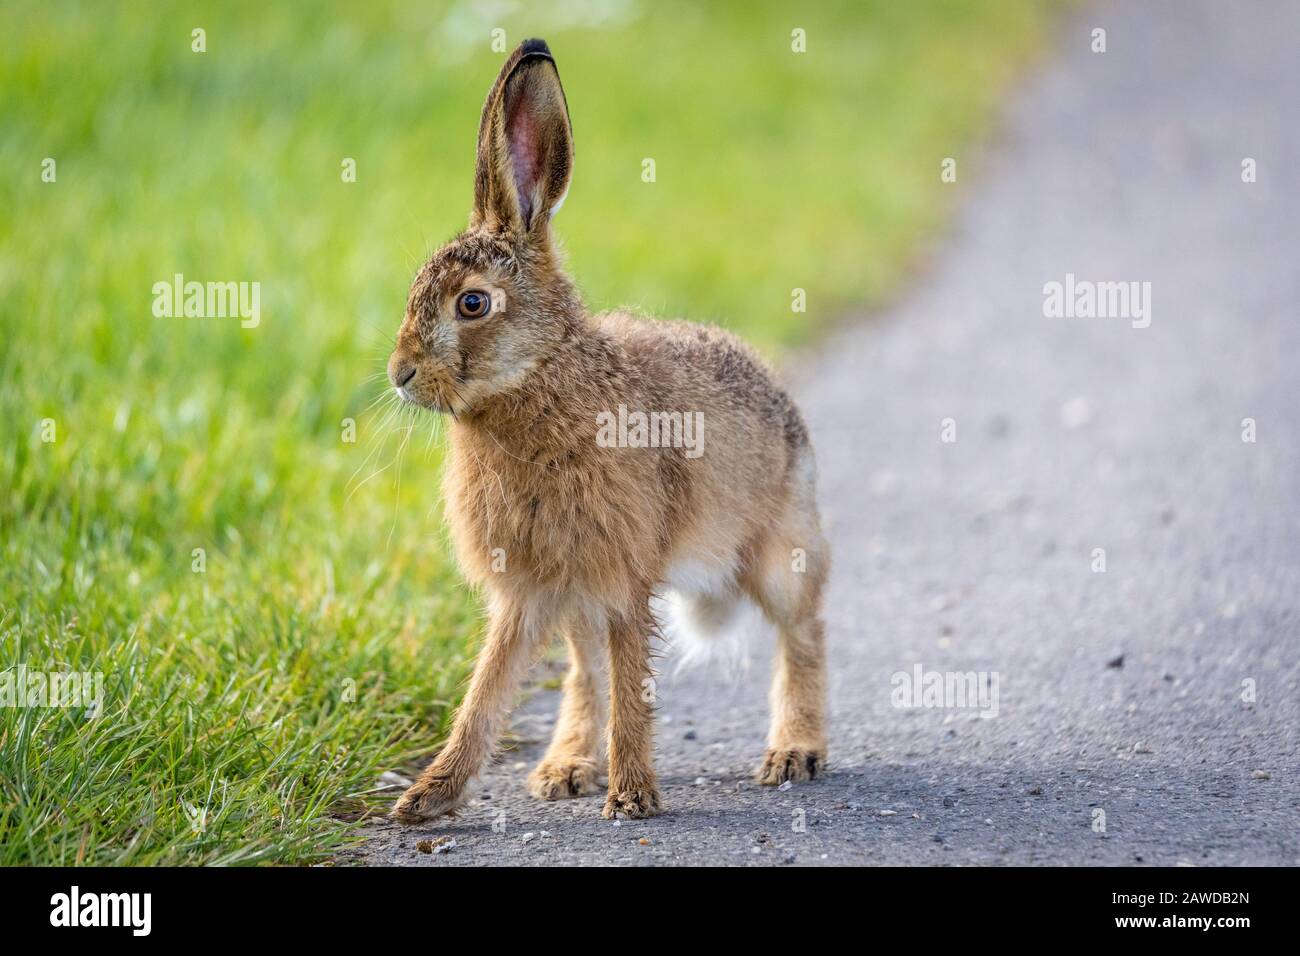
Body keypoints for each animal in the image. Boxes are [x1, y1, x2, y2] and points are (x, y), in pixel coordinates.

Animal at [387, 38, 828, 823]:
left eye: (472, 303)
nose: (399, 373)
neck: (539, 379)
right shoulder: (528, 587)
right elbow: (487, 691)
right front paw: (427, 798)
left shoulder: (623, 572)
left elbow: (631, 682)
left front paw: (633, 797)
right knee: (583, 670)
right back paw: (565, 766)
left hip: (781, 550)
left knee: (801, 633)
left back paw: (794, 752)